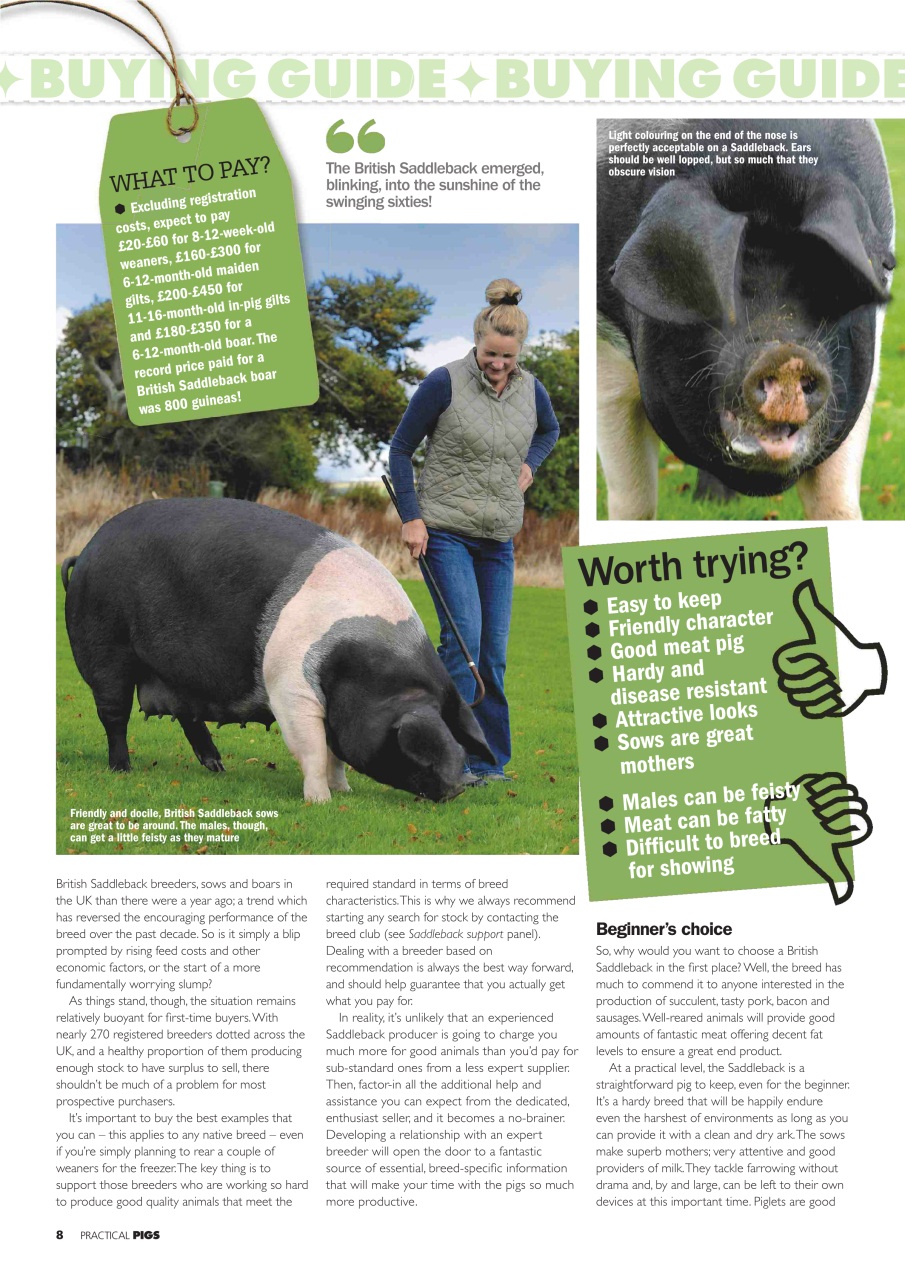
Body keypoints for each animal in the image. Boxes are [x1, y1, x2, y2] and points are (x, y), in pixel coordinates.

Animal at [62, 498, 494, 803]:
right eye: (412, 742)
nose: (459, 785)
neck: (354, 662)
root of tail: (85, 552)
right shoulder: (289, 685)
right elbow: (313, 747)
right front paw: (321, 801)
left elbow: (336, 751)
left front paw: (345, 792)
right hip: (104, 646)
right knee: (114, 714)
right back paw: (123, 769)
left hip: (175, 674)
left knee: (188, 716)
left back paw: (218, 768)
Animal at [597, 119, 896, 519]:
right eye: (717, 289)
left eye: (824, 287)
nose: (787, 355)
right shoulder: (606, 353)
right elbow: (635, 501)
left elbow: (835, 501)